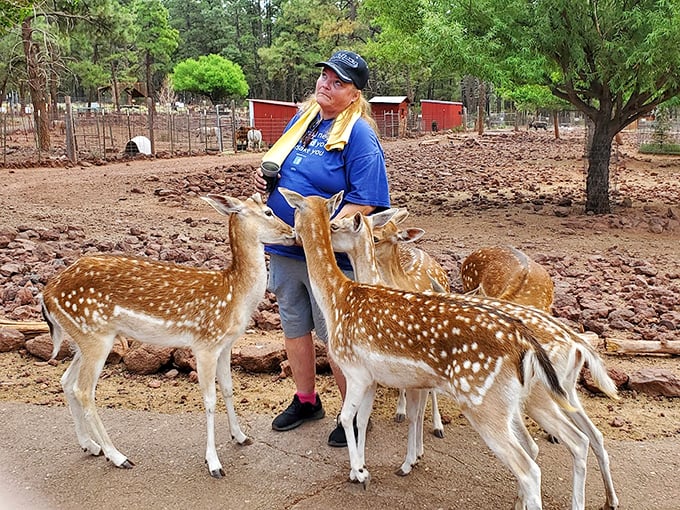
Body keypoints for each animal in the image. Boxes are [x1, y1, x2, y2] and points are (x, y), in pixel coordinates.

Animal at [40, 193, 296, 478]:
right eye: (269, 211)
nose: (293, 231)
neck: (235, 296)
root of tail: (46, 295)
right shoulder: (205, 343)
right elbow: (209, 399)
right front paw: (214, 463)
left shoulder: (225, 345)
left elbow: (229, 389)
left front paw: (240, 437)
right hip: (94, 336)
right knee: (84, 390)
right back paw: (117, 456)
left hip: (84, 337)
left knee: (66, 381)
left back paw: (90, 445)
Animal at [280, 188, 606, 510]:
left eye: (336, 225)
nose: (291, 236)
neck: (338, 298)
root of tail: (576, 344)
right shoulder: (374, 377)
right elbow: (363, 419)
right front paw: (365, 468)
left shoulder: (356, 370)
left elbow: (350, 418)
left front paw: (367, 472)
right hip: (544, 395)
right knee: (580, 438)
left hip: (490, 402)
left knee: (531, 466)